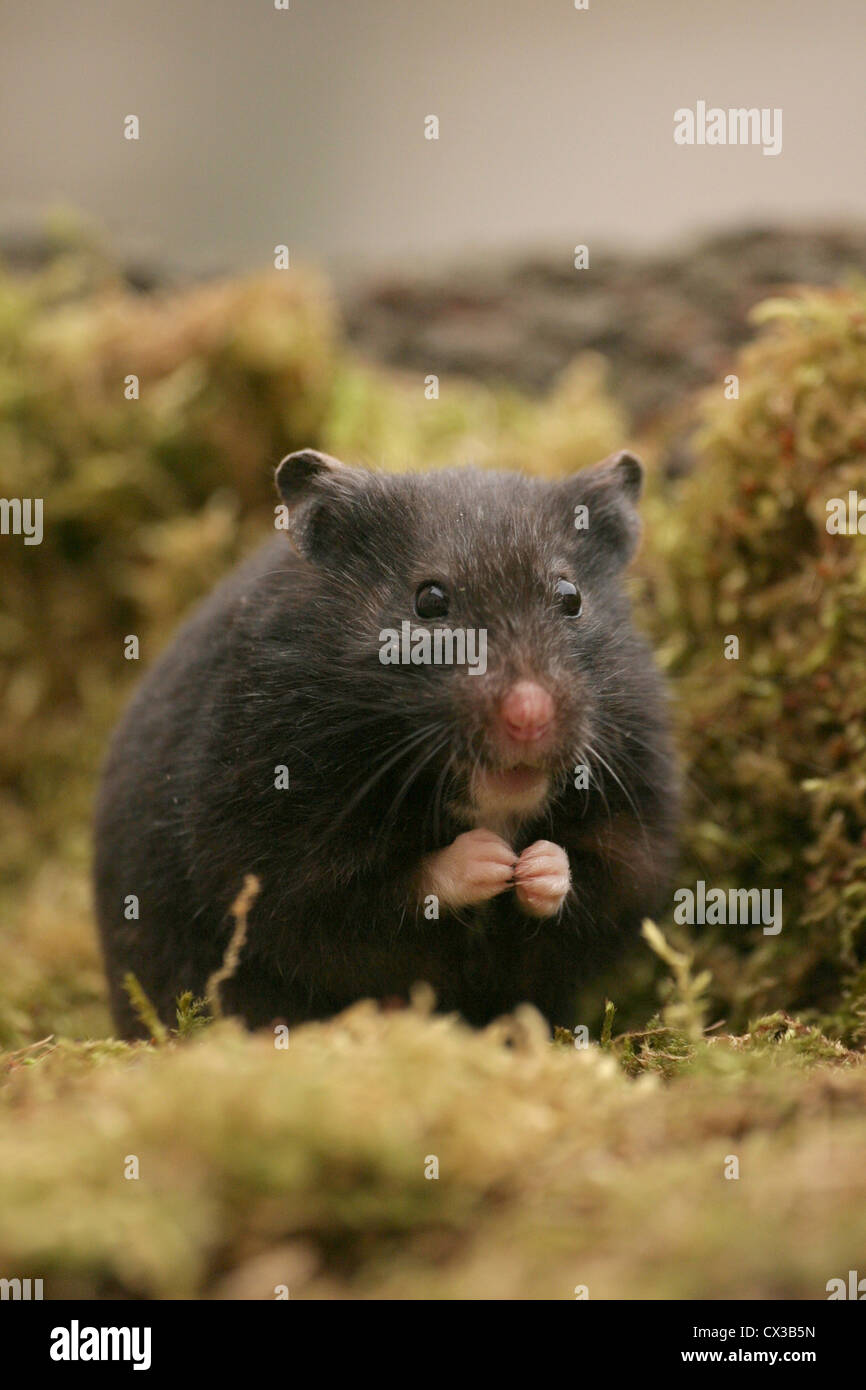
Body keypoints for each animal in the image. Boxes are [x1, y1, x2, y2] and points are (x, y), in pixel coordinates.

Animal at [94, 449, 678, 1039]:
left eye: (570, 597)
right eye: (429, 601)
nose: (529, 716)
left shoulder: (639, 826)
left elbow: (599, 881)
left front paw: (534, 864)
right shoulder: (267, 848)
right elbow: (373, 898)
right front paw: (491, 860)